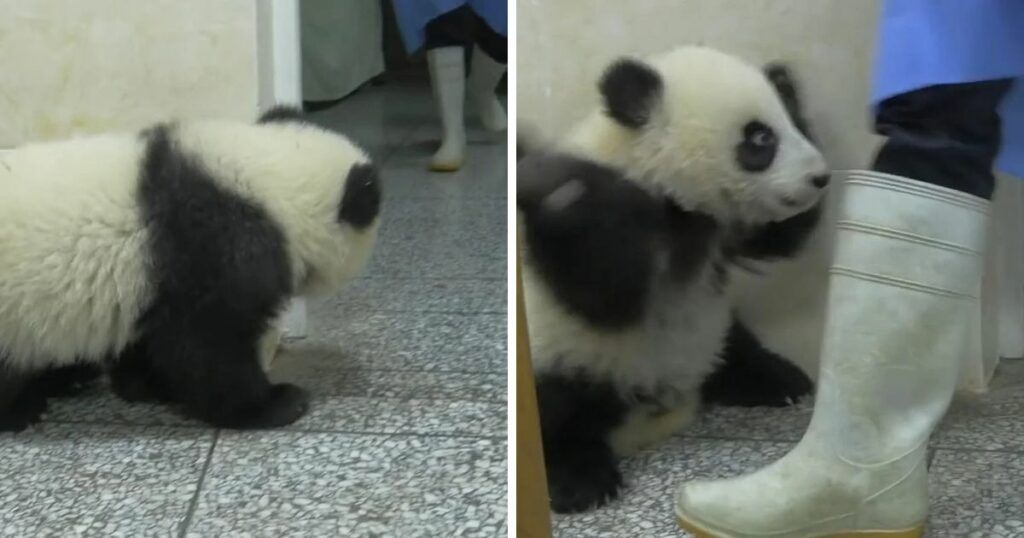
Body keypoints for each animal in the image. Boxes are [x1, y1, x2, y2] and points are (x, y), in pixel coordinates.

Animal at [0, 106, 380, 432]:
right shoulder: (211, 249)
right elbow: (207, 344)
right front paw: (277, 403)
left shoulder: (150, 282)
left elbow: (155, 338)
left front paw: (144, 384)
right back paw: (24, 408)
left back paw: (70, 377)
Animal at [517, 47, 829, 513]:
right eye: (759, 139)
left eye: (786, 122)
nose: (820, 177)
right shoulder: (625, 207)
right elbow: (604, 293)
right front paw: (557, 199)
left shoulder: (721, 232)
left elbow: (778, 235)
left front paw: (787, 82)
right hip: (565, 354)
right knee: (555, 411)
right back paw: (580, 479)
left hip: (709, 329)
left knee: (734, 343)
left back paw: (777, 379)